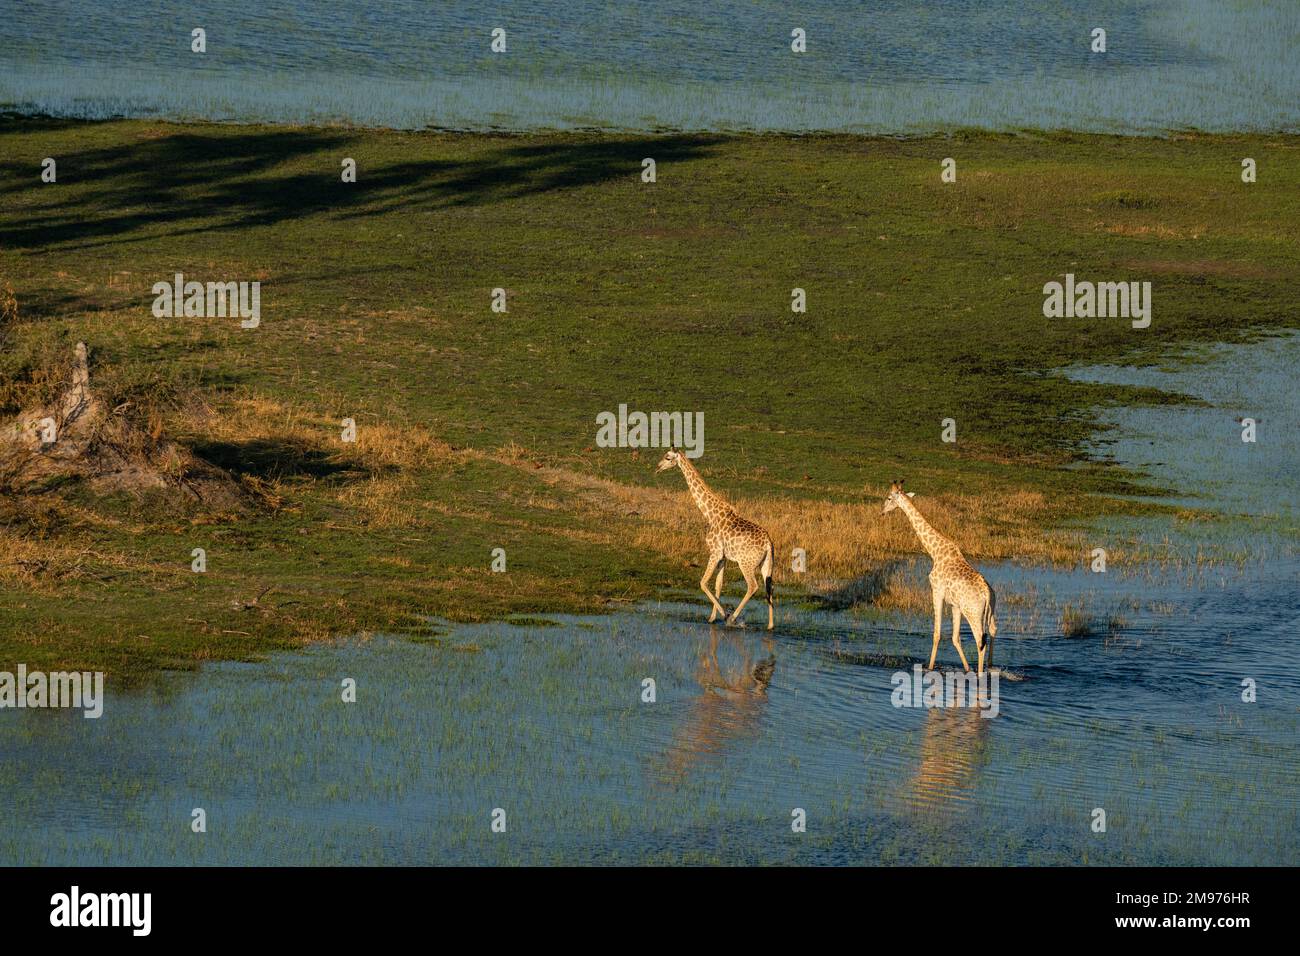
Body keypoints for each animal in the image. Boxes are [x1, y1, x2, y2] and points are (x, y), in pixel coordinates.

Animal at [656, 449, 775, 629]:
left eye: (667, 457)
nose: (657, 467)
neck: (709, 513)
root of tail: (768, 544)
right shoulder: (723, 556)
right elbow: (718, 585)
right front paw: (713, 618)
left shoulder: (715, 552)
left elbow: (703, 582)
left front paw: (724, 614)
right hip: (766, 565)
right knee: (769, 589)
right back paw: (770, 626)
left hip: (746, 563)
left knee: (752, 586)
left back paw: (734, 618)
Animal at [881, 480, 998, 677]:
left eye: (889, 498)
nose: (882, 512)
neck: (935, 552)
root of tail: (988, 595)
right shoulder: (955, 605)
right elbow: (955, 638)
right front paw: (966, 668)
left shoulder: (937, 592)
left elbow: (937, 634)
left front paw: (929, 668)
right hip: (990, 612)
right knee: (993, 631)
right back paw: (989, 668)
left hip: (973, 614)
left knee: (980, 641)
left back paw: (980, 673)